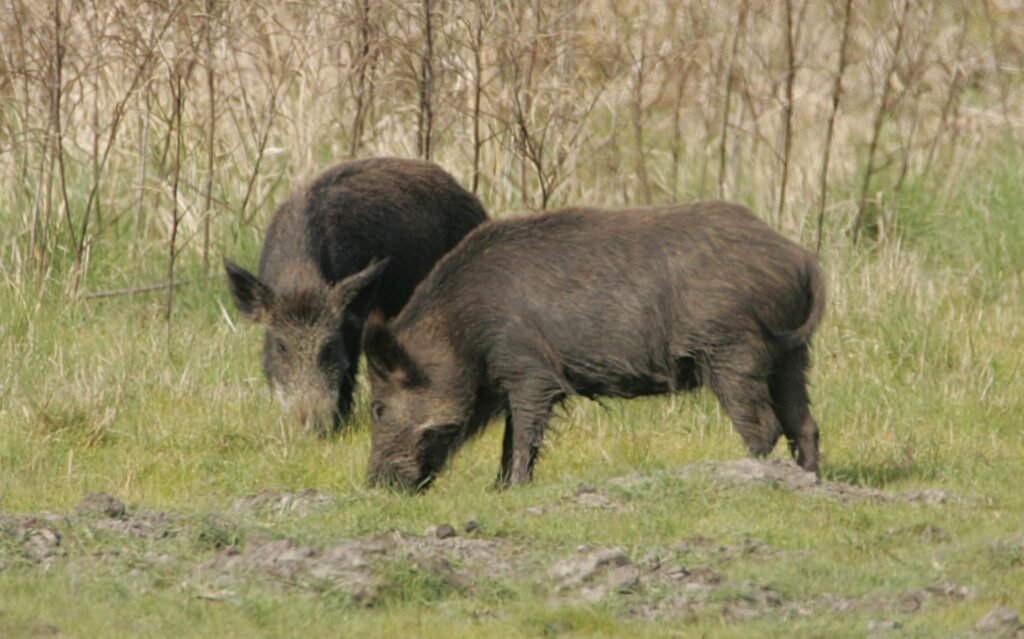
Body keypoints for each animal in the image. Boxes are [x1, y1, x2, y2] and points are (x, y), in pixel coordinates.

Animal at [363, 201, 826, 491]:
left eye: (378, 407)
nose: (375, 485)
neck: (462, 330)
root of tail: (800, 258)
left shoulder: (529, 369)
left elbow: (524, 435)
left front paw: (512, 489)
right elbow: (512, 437)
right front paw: (498, 489)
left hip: (732, 349)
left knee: (764, 425)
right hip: (791, 355)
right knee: (804, 423)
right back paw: (811, 481)